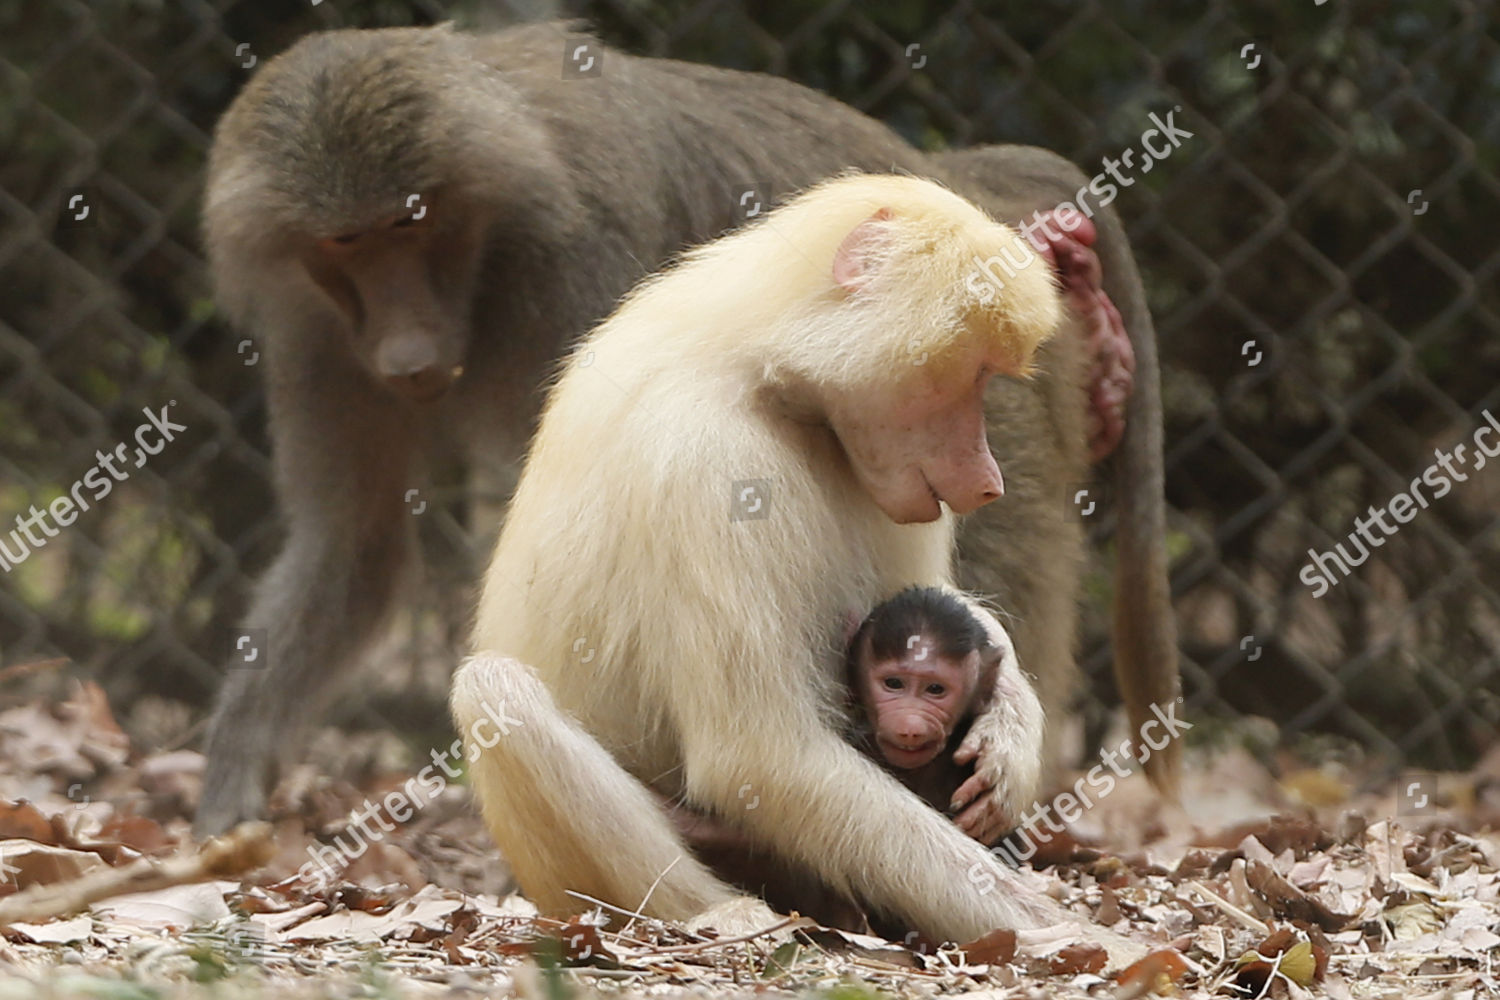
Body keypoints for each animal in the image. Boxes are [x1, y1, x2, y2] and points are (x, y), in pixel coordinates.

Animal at [198, 21, 1177, 837]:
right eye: (344, 245)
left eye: (411, 223)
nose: (406, 354)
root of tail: (976, 190)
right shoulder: (322, 335)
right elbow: (357, 546)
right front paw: (231, 786)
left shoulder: (580, 258)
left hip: (977, 403)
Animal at [449, 173, 1147, 953]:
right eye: (973, 378)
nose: (987, 478)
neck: (761, 365)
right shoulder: (711, 458)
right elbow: (761, 759)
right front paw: (1067, 933)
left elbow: (935, 607)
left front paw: (1009, 736)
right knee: (495, 692)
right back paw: (725, 914)